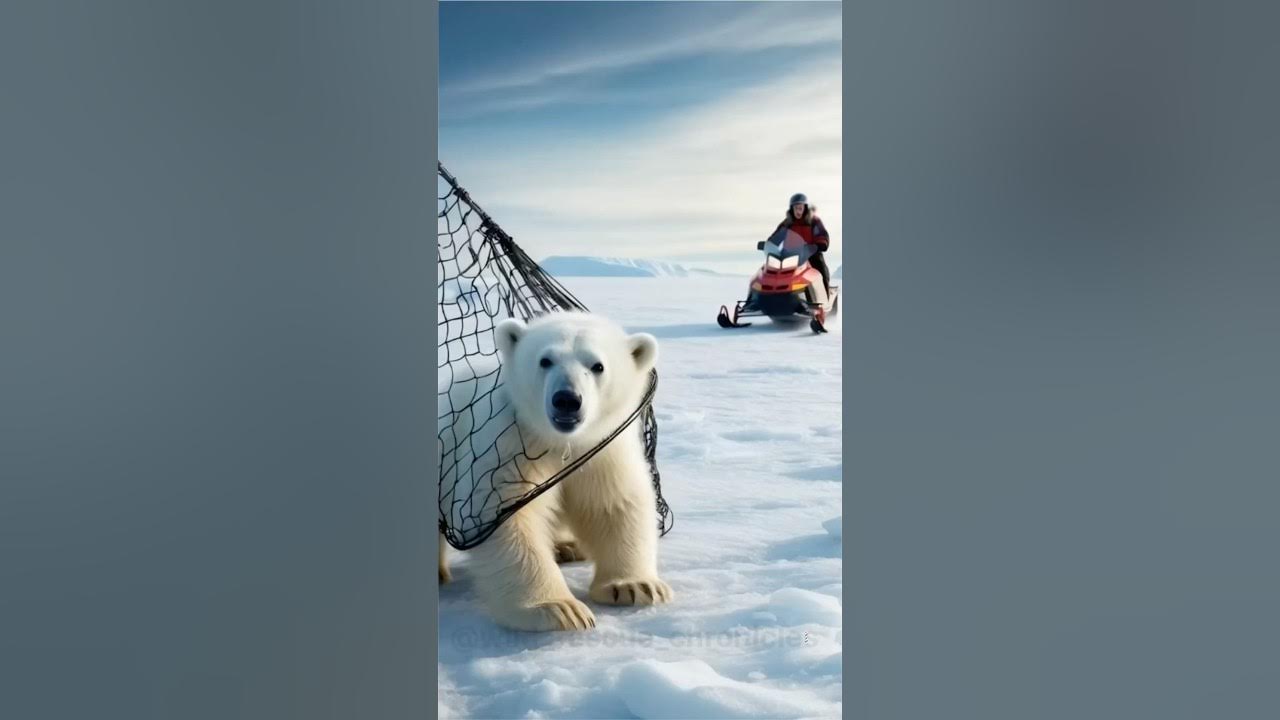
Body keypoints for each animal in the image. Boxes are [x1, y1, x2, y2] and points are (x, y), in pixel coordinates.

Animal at [438, 311, 672, 632]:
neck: (558, 442)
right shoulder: (507, 445)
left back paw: (567, 546)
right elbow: (508, 519)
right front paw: (559, 609)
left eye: (597, 365)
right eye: (545, 360)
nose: (567, 400)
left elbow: (615, 503)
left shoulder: (601, 450)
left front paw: (634, 587)